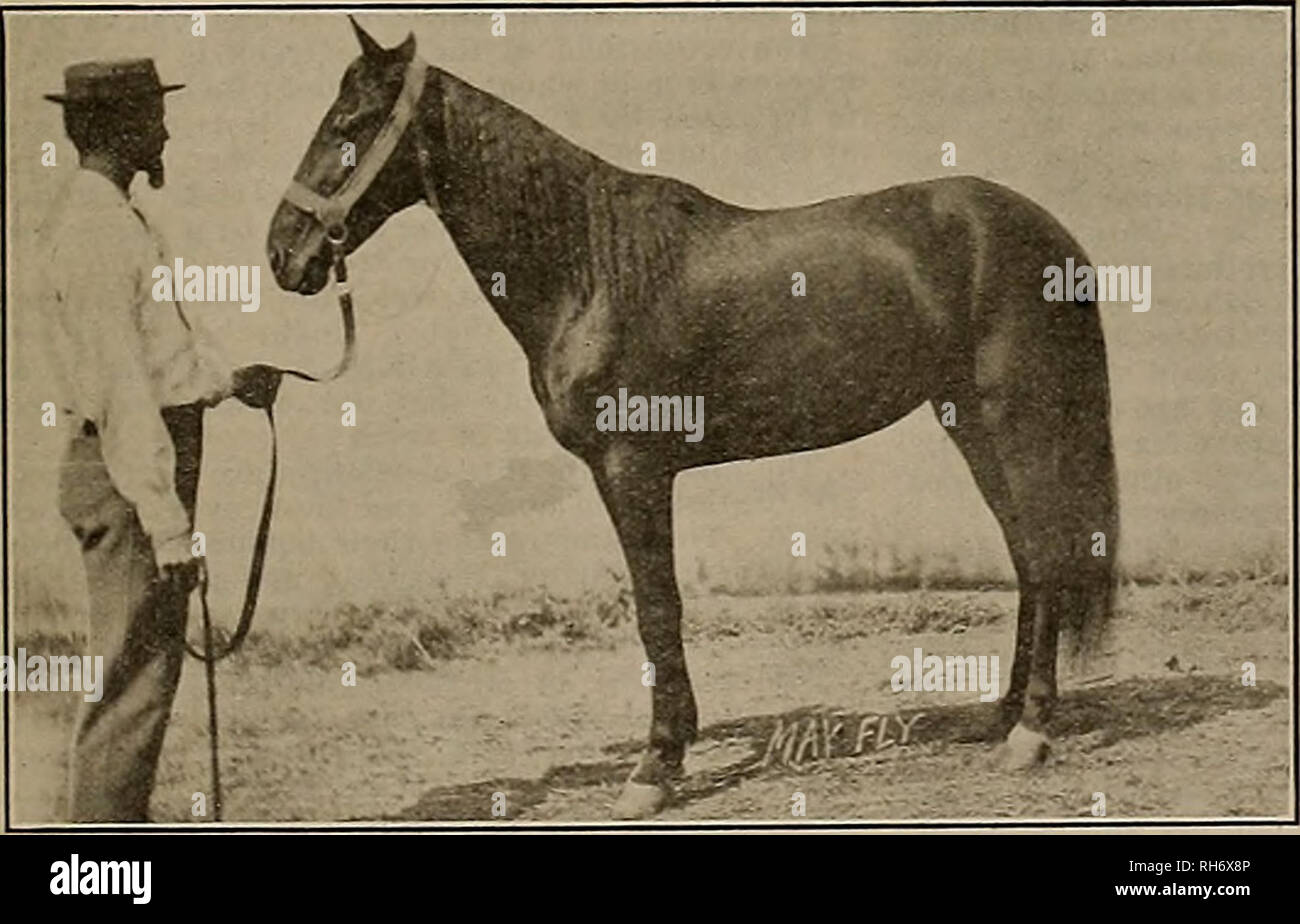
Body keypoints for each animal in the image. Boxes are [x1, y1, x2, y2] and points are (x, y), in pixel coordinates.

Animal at [267, 19, 1119, 820]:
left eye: (349, 123)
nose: (282, 254)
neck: (590, 266)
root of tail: (1047, 232)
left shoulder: (633, 468)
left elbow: (657, 609)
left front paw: (654, 770)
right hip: (968, 421)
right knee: (1028, 556)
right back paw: (1003, 714)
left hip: (1015, 418)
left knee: (1047, 554)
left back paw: (1031, 732)